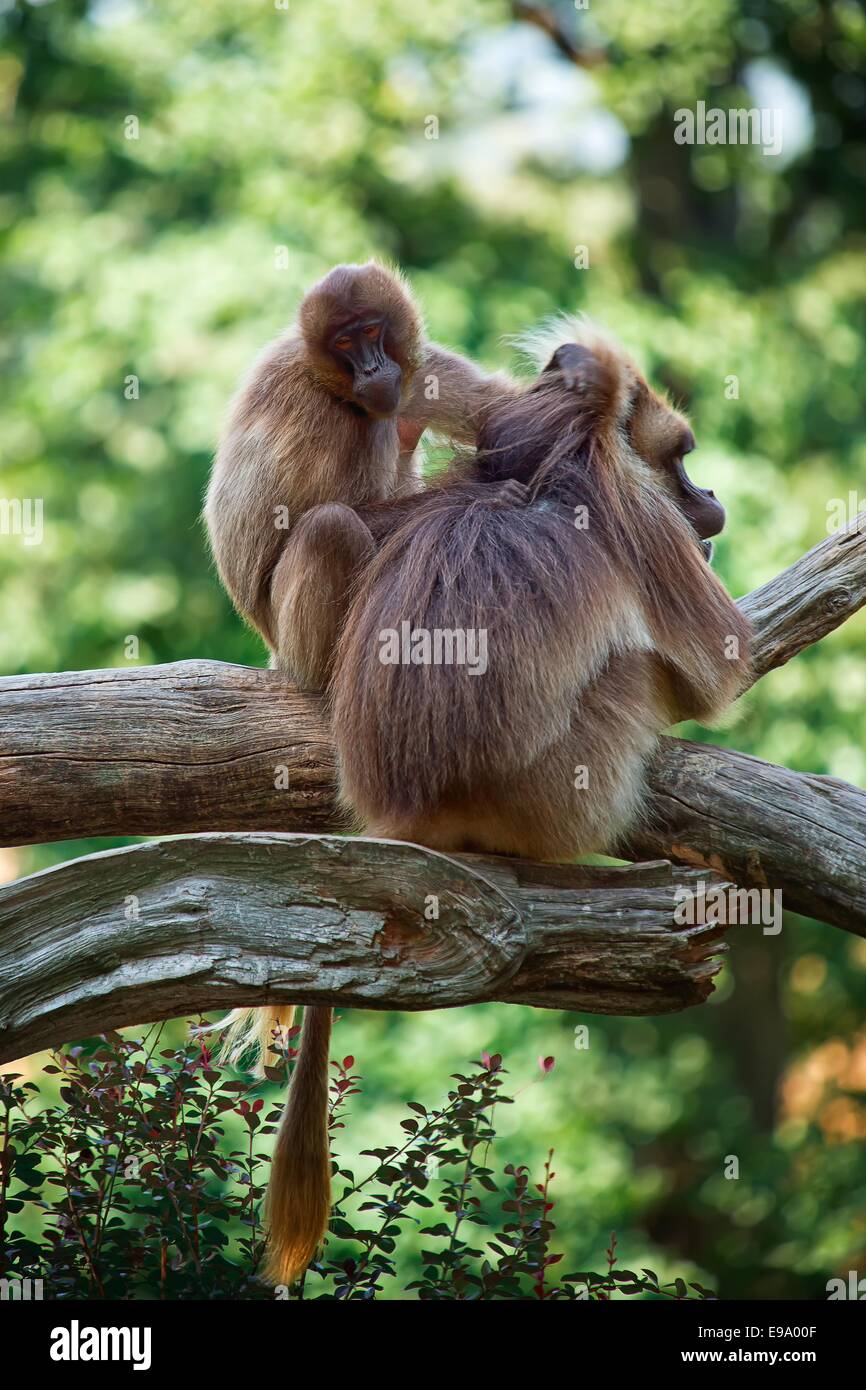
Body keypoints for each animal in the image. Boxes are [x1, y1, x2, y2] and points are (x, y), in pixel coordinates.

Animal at [259, 321, 753, 1286]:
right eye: (679, 460)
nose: (709, 498)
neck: (552, 467)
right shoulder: (642, 527)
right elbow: (718, 672)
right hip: (569, 786)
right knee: (628, 681)